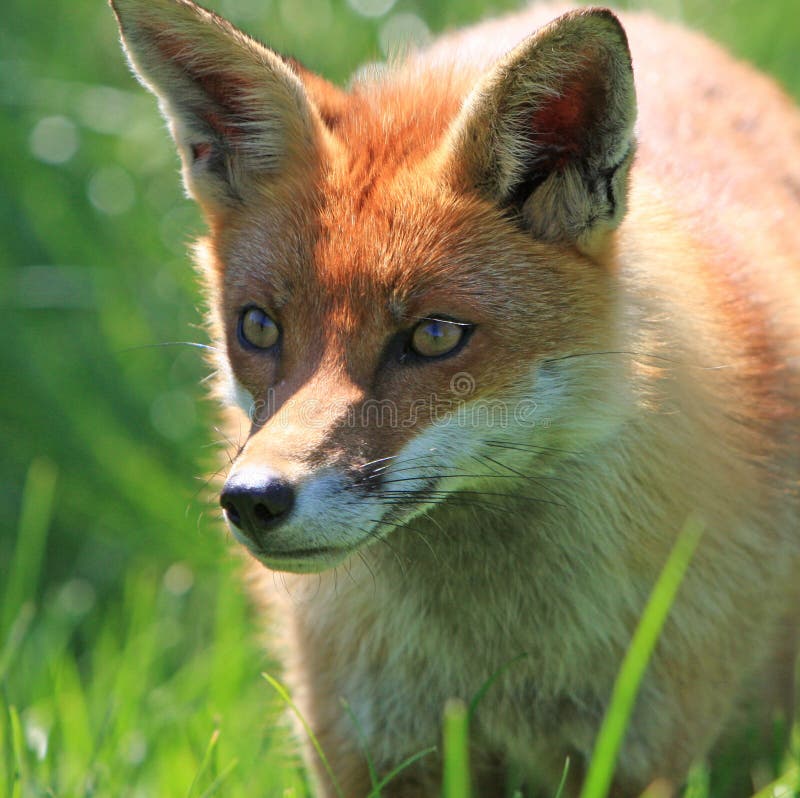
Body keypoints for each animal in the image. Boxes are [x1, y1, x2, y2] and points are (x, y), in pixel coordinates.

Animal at [109, 0, 800, 795]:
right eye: (257, 326)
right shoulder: (367, 750)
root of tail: (657, 23)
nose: (253, 501)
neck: (496, 661)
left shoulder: (648, 755)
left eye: (435, 335)